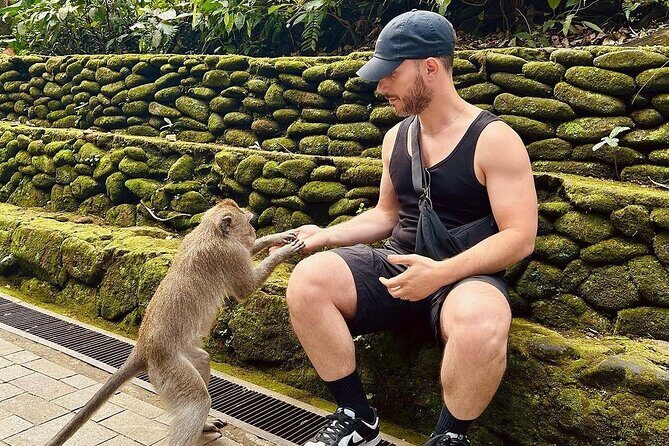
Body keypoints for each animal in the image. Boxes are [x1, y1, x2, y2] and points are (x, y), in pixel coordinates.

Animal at [46, 198, 305, 446]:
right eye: (249, 222)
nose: (252, 230)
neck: (209, 231)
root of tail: (143, 348)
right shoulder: (229, 253)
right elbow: (246, 288)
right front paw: (284, 252)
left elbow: (250, 251)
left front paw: (281, 236)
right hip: (168, 368)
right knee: (197, 401)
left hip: (182, 354)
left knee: (202, 361)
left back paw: (204, 424)